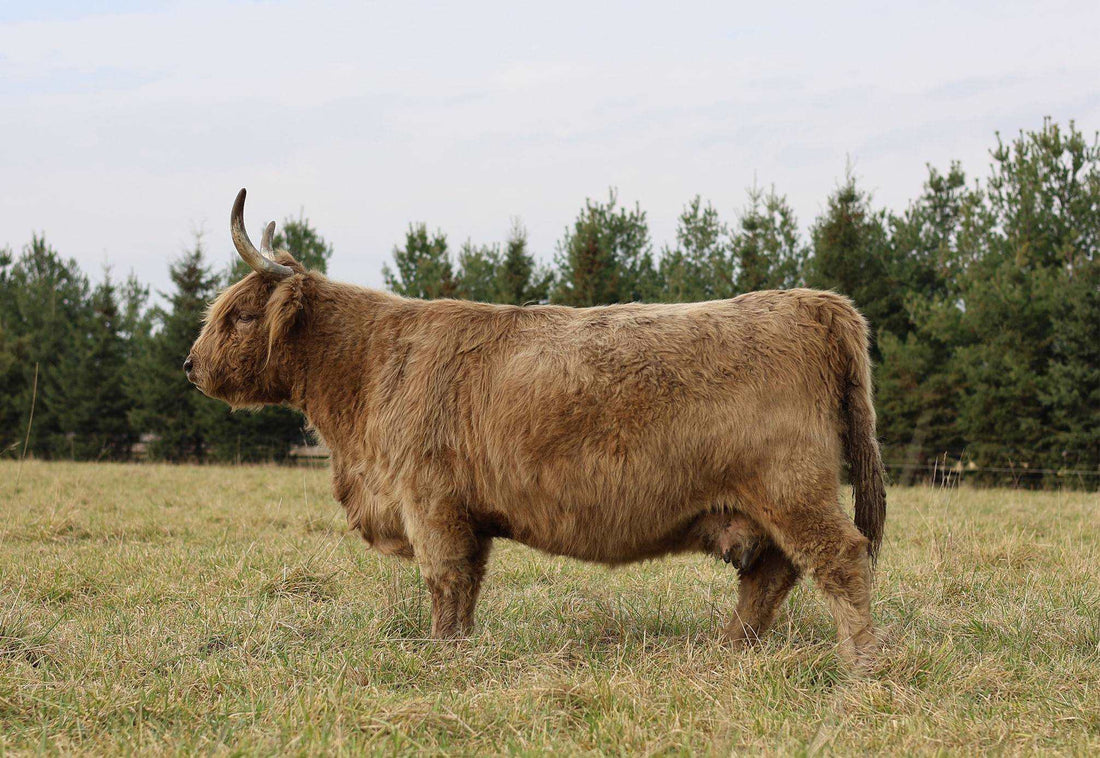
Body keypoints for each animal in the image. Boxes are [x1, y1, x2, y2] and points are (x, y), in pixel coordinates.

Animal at [186, 189, 887, 669]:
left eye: (240, 315)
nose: (192, 365)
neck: (372, 366)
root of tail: (815, 302)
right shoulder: (466, 515)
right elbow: (467, 589)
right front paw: (459, 652)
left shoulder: (430, 502)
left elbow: (444, 584)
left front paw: (440, 658)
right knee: (770, 575)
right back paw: (727, 650)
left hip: (793, 490)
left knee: (839, 559)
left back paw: (861, 665)